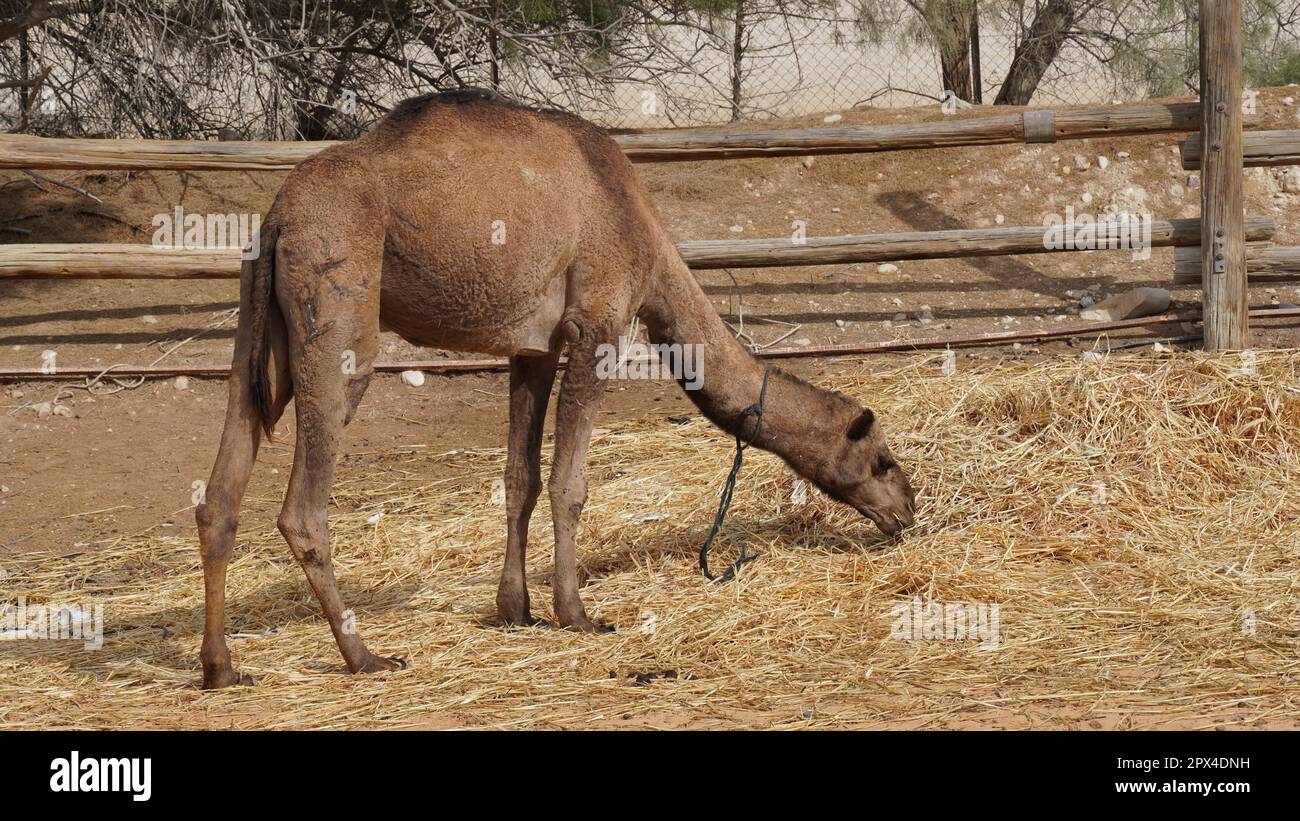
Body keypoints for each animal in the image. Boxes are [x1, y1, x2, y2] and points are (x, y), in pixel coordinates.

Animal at [195, 88, 916, 689]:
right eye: (882, 458)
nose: (907, 513)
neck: (644, 235)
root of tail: (278, 215)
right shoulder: (597, 324)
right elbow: (571, 485)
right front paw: (577, 612)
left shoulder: (532, 349)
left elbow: (522, 478)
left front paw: (515, 608)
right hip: (336, 309)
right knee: (303, 506)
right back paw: (364, 656)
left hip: (261, 329)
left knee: (220, 490)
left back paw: (222, 668)